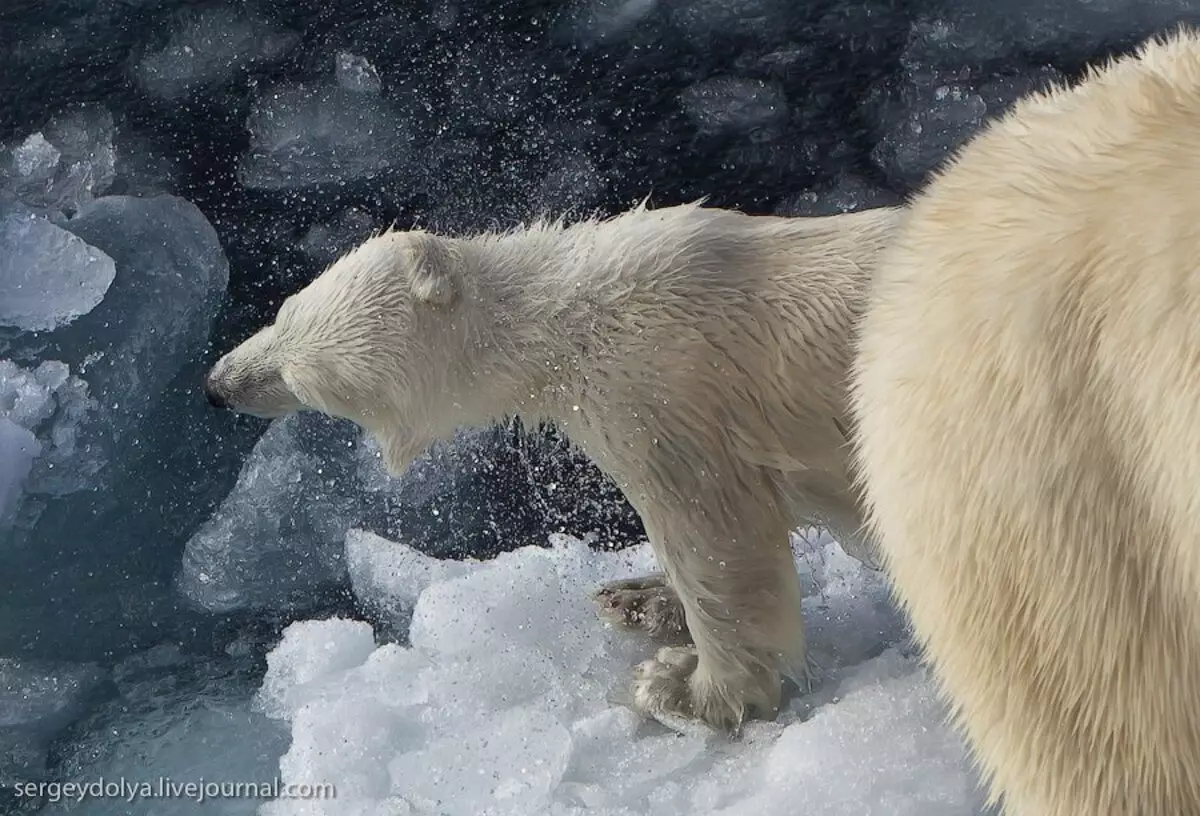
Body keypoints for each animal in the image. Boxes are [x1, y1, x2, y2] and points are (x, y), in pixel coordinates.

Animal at [206, 199, 902, 734]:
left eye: (305, 380)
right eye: (283, 314)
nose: (216, 386)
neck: (573, 311)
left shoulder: (663, 401)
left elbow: (719, 542)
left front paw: (682, 687)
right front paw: (639, 597)